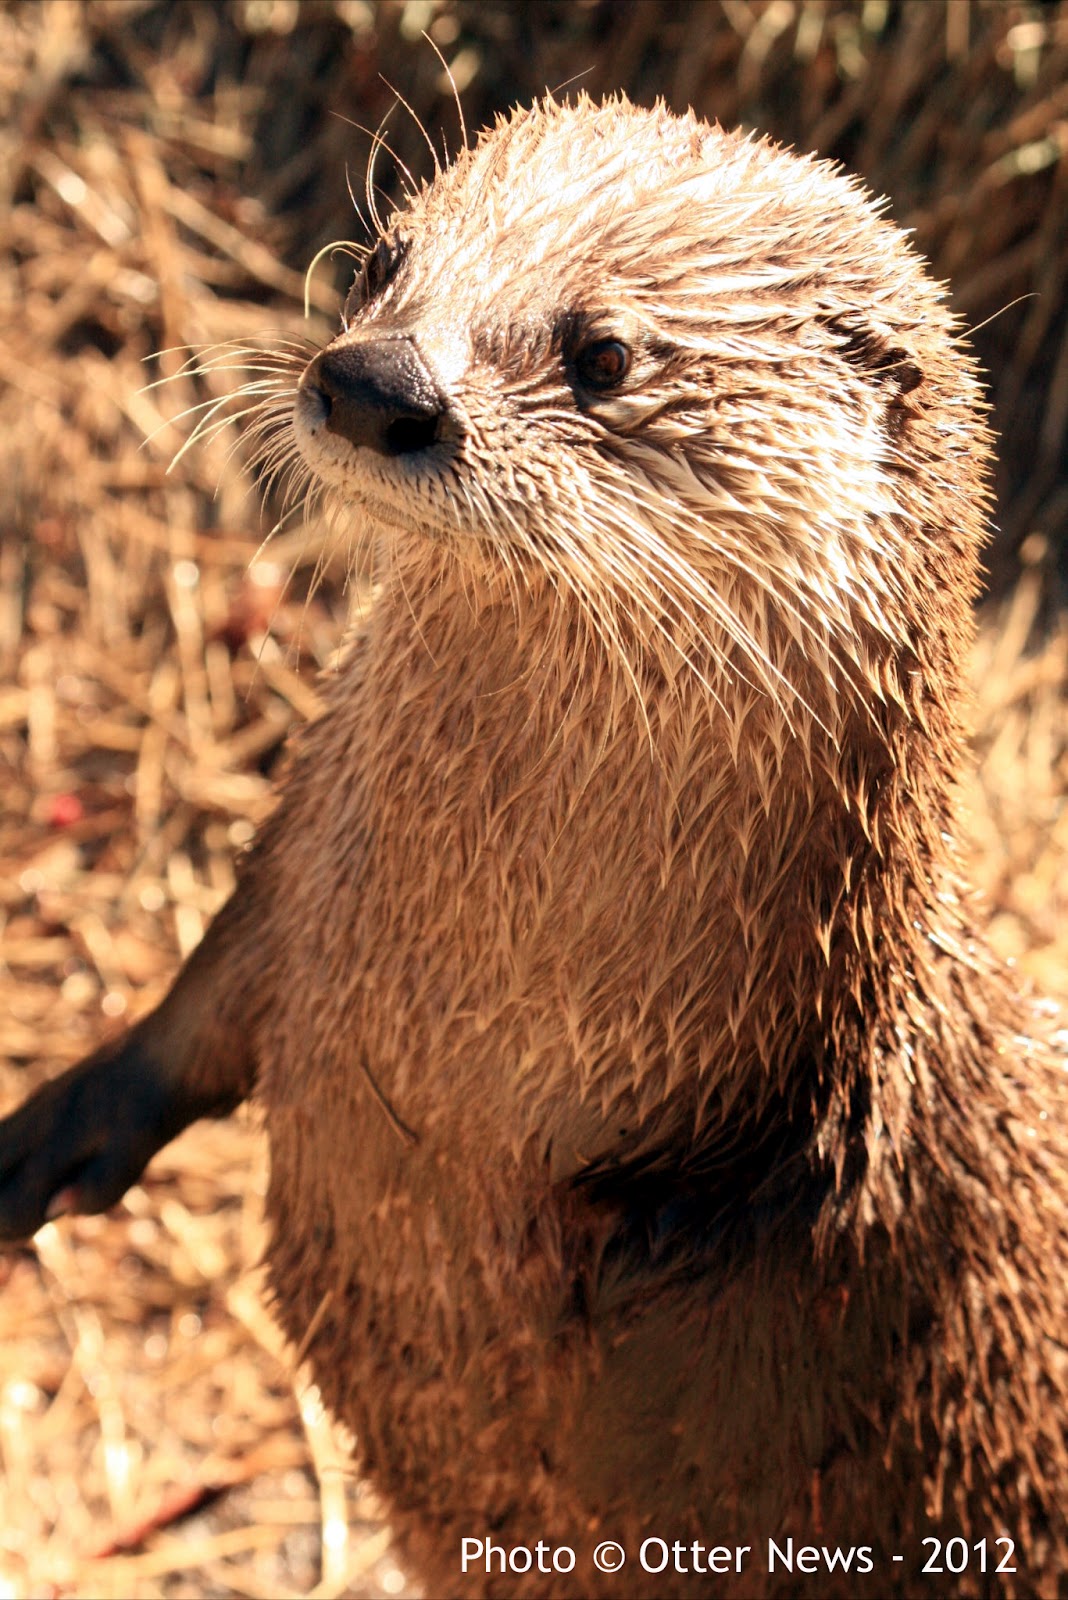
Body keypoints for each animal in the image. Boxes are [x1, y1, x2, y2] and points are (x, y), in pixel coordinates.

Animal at [1, 95, 1066, 1598]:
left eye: (602, 350)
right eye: (382, 260)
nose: (374, 379)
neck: (476, 1039)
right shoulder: (301, 871)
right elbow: (208, 989)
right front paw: (57, 1132)